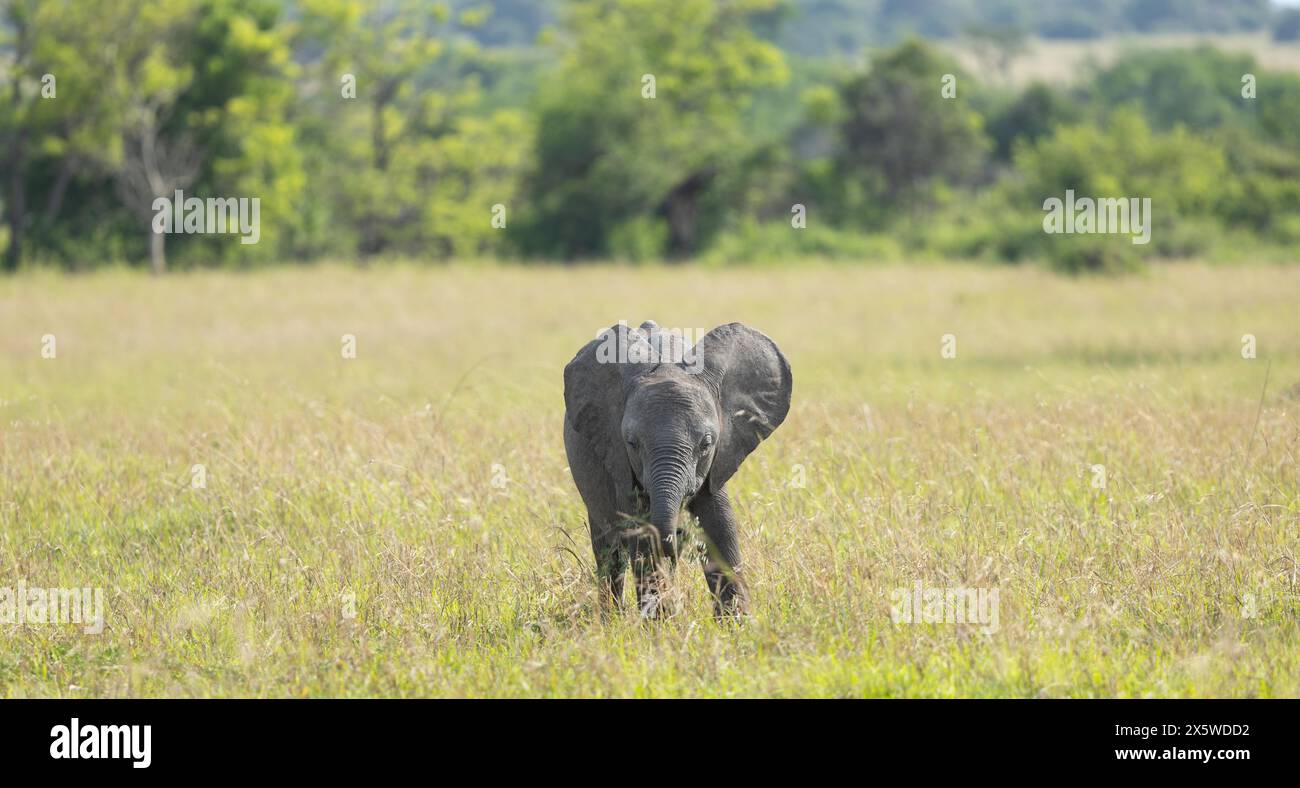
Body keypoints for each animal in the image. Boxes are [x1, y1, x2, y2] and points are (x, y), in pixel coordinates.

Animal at [563, 320, 792, 617]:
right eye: (632, 443)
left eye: (706, 443)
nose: (678, 531)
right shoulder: (622, 462)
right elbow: (642, 539)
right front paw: (659, 624)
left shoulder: (717, 462)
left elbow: (721, 526)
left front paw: (737, 625)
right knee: (608, 549)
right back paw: (610, 618)